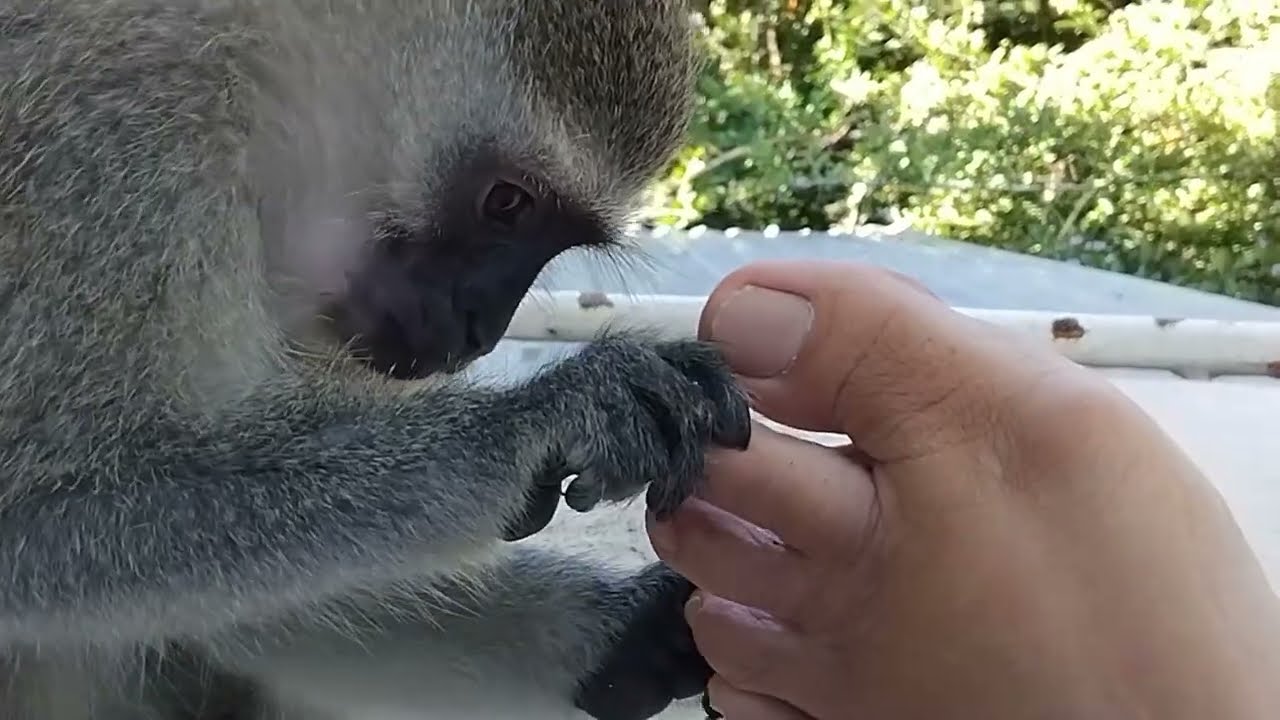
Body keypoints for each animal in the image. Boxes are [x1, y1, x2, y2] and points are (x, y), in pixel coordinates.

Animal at [0, 1, 752, 719]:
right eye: (507, 203)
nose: (481, 329)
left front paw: (623, 633)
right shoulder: (115, 154)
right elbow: (31, 525)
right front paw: (535, 421)